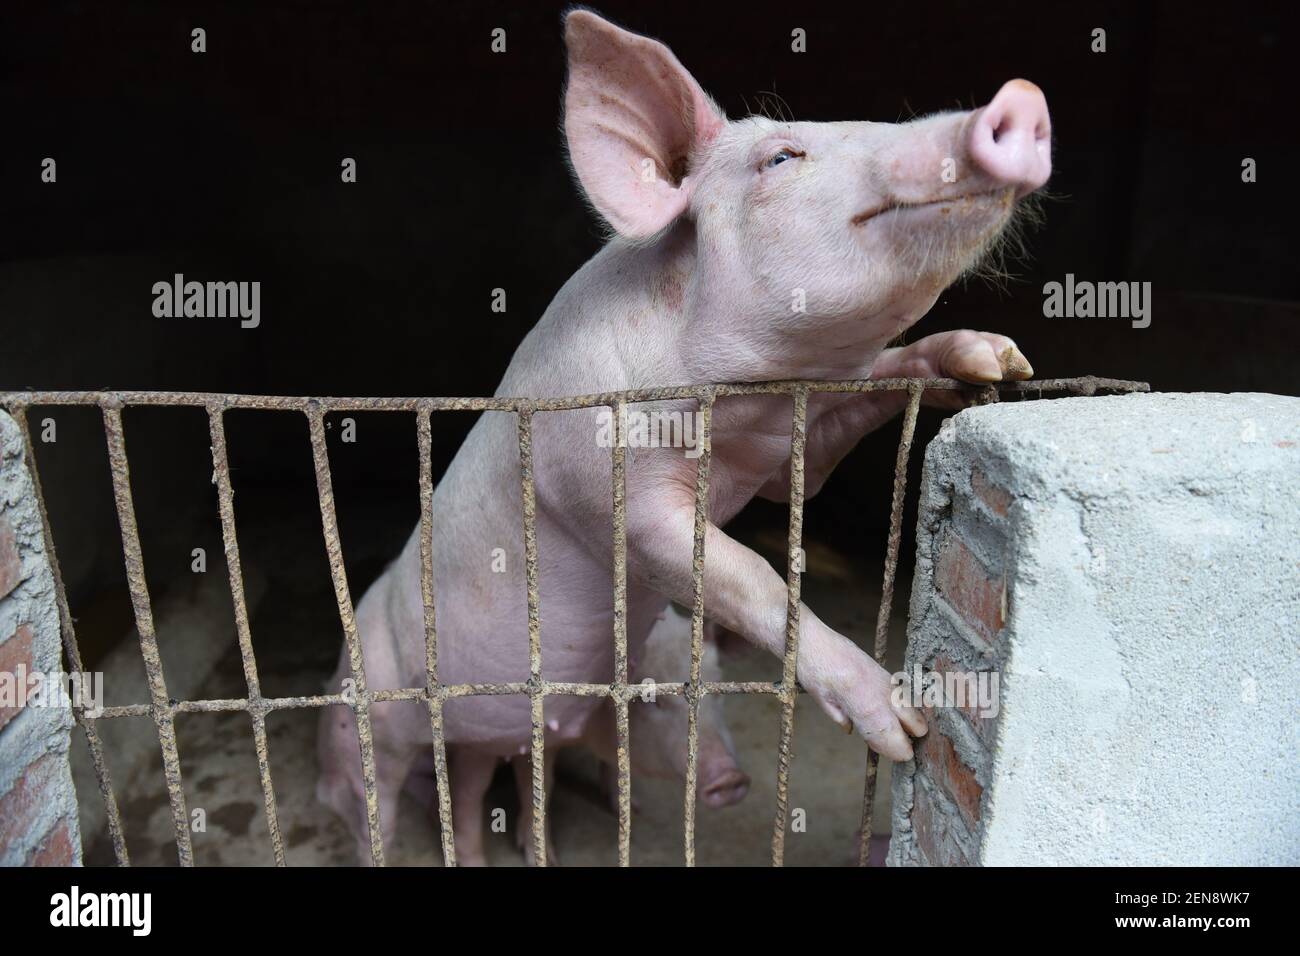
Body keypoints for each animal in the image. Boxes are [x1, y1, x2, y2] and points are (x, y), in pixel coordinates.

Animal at [317, 8, 1049, 864]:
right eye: (779, 157)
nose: (1022, 98)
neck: (736, 415)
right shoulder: (605, 490)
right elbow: (752, 576)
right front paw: (903, 722)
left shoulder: (794, 446)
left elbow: (843, 429)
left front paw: (994, 359)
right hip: (365, 725)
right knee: (363, 802)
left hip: (491, 735)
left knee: (481, 776)